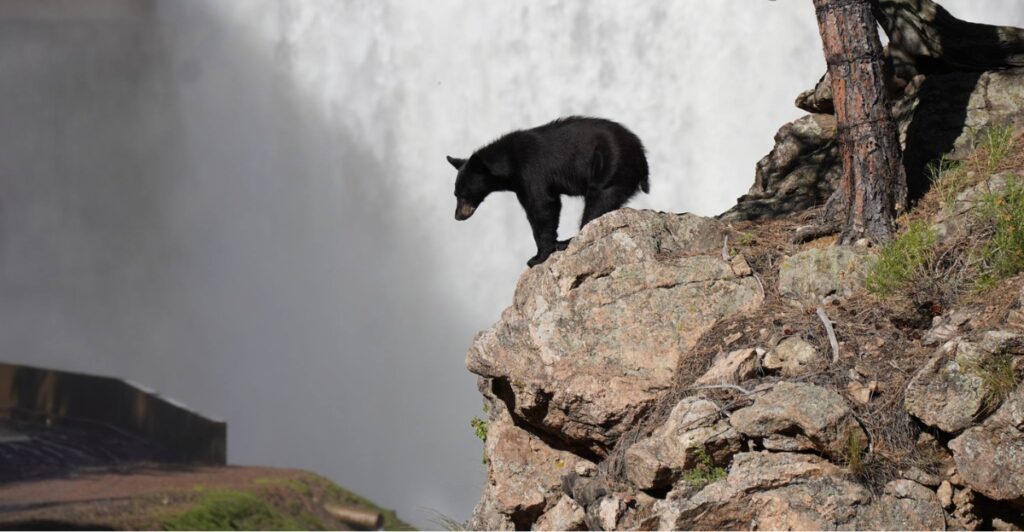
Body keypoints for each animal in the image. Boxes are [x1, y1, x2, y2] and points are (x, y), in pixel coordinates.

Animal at [447, 116, 649, 267]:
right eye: (455, 194)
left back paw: (570, 240)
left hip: (609, 167)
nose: (457, 216)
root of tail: (641, 155)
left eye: (463, 194)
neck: (509, 163)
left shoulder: (532, 171)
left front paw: (538, 257)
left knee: (599, 202)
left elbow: (542, 206)